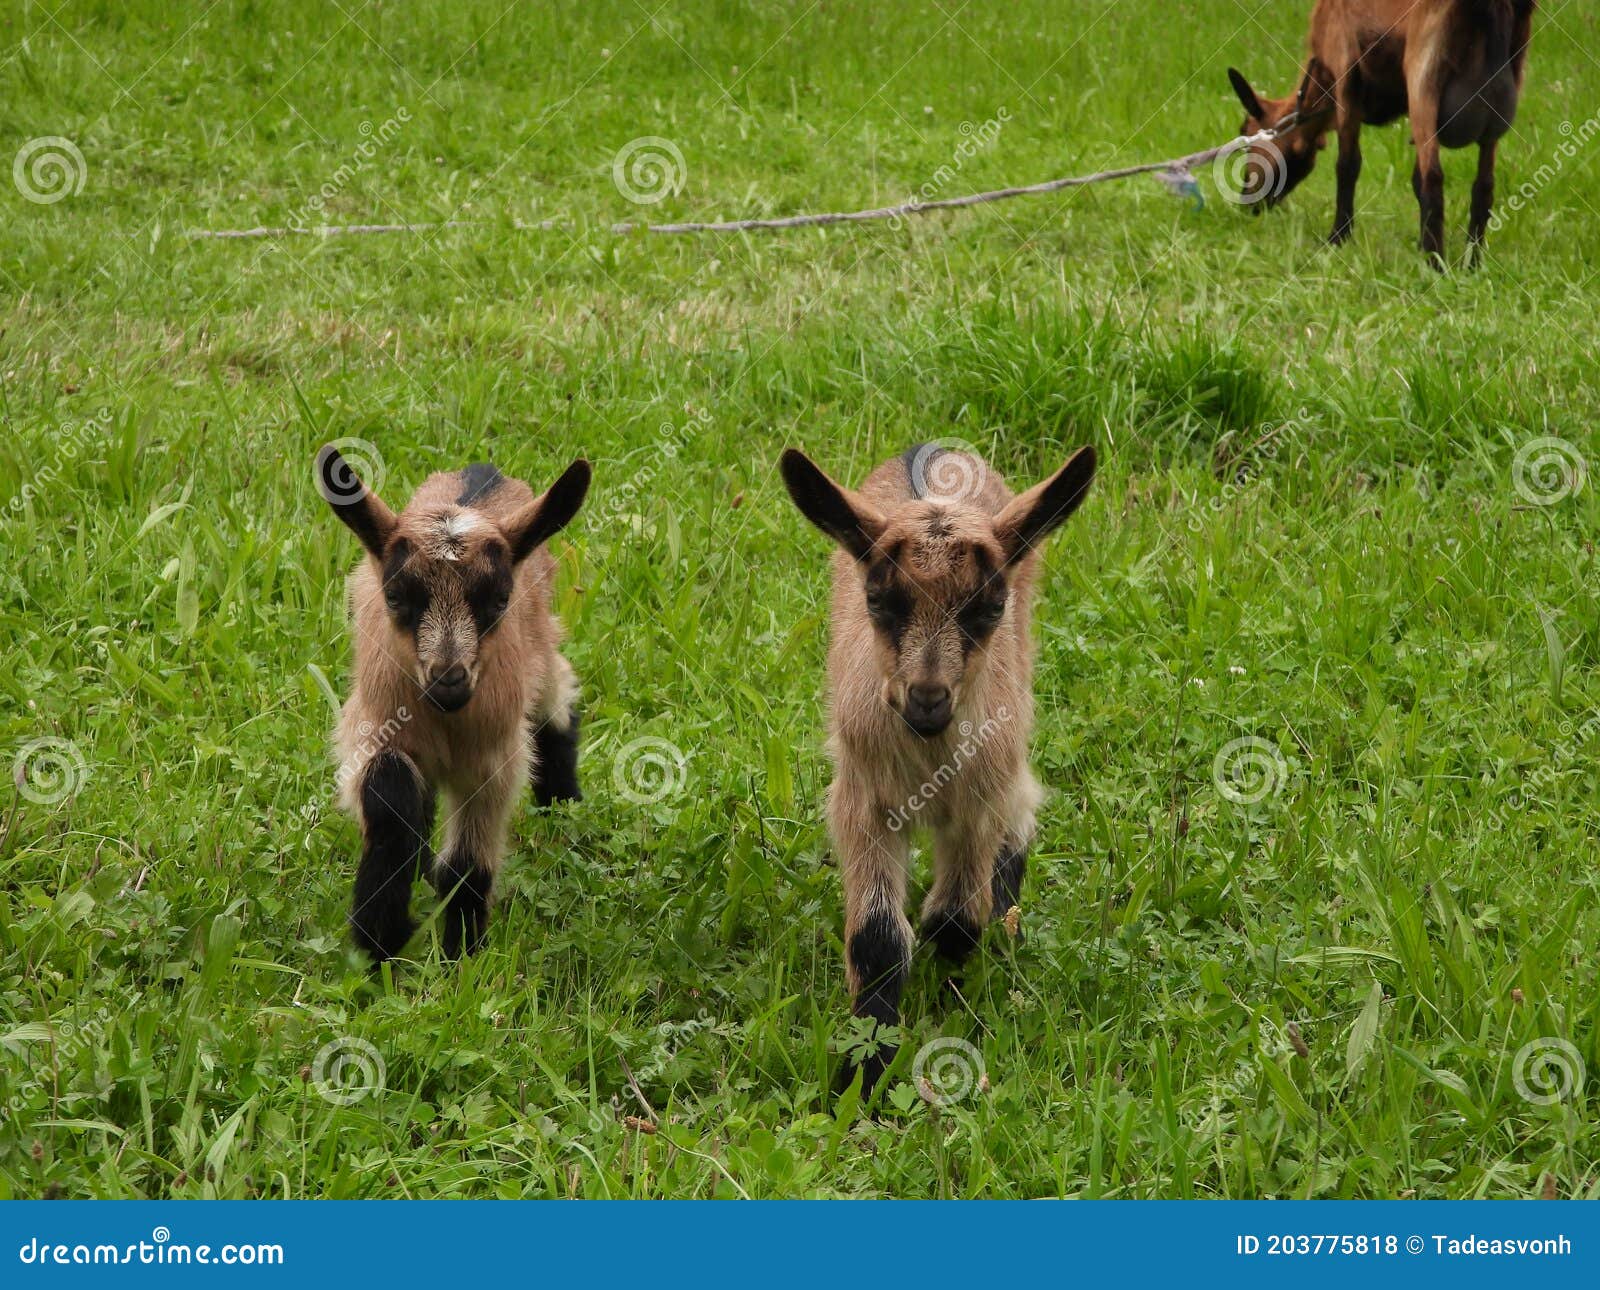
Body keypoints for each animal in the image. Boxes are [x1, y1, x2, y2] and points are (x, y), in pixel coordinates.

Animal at [317, 446, 590, 963]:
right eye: (395, 596)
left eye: (499, 599)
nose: (449, 679)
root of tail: (484, 473)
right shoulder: (372, 726)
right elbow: (390, 796)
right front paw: (381, 939)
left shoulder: (493, 761)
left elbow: (466, 865)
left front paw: (461, 955)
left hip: (540, 646)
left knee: (557, 698)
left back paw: (564, 805)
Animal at [780, 442, 1095, 1095]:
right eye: (879, 600)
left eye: (989, 606)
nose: (927, 699)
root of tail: (938, 452)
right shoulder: (863, 801)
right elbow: (876, 940)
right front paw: (864, 1076)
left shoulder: (979, 802)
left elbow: (954, 922)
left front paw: (952, 1009)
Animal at [1227, 0, 1535, 262]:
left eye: (1247, 133)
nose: (1247, 206)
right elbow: (1415, 179)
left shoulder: (1345, 72)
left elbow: (1348, 165)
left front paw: (1337, 238)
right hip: (1508, 78)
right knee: (1484, 185)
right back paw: (1473, 261)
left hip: (1423, 71)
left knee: (1434, 178)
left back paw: (1434, 263)